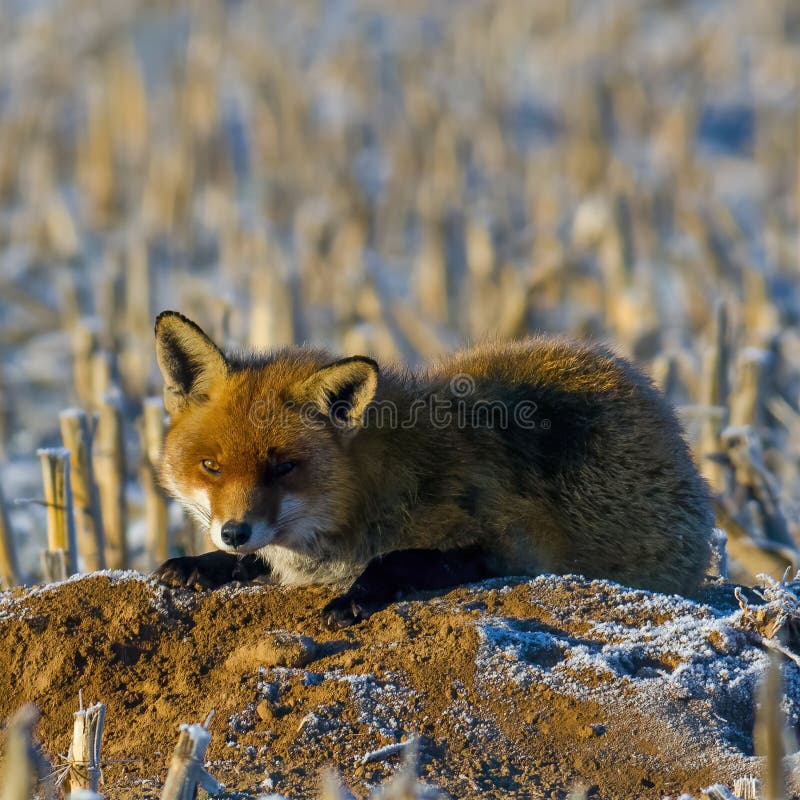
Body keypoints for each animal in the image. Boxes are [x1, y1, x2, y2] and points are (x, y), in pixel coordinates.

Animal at [153, 310, 714, 627]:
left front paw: (355, 598)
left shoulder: (513, 544)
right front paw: (205, 563)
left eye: (283, 468)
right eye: (210, 467)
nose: (234, 530)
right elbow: (254, 561)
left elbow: (395, 560)